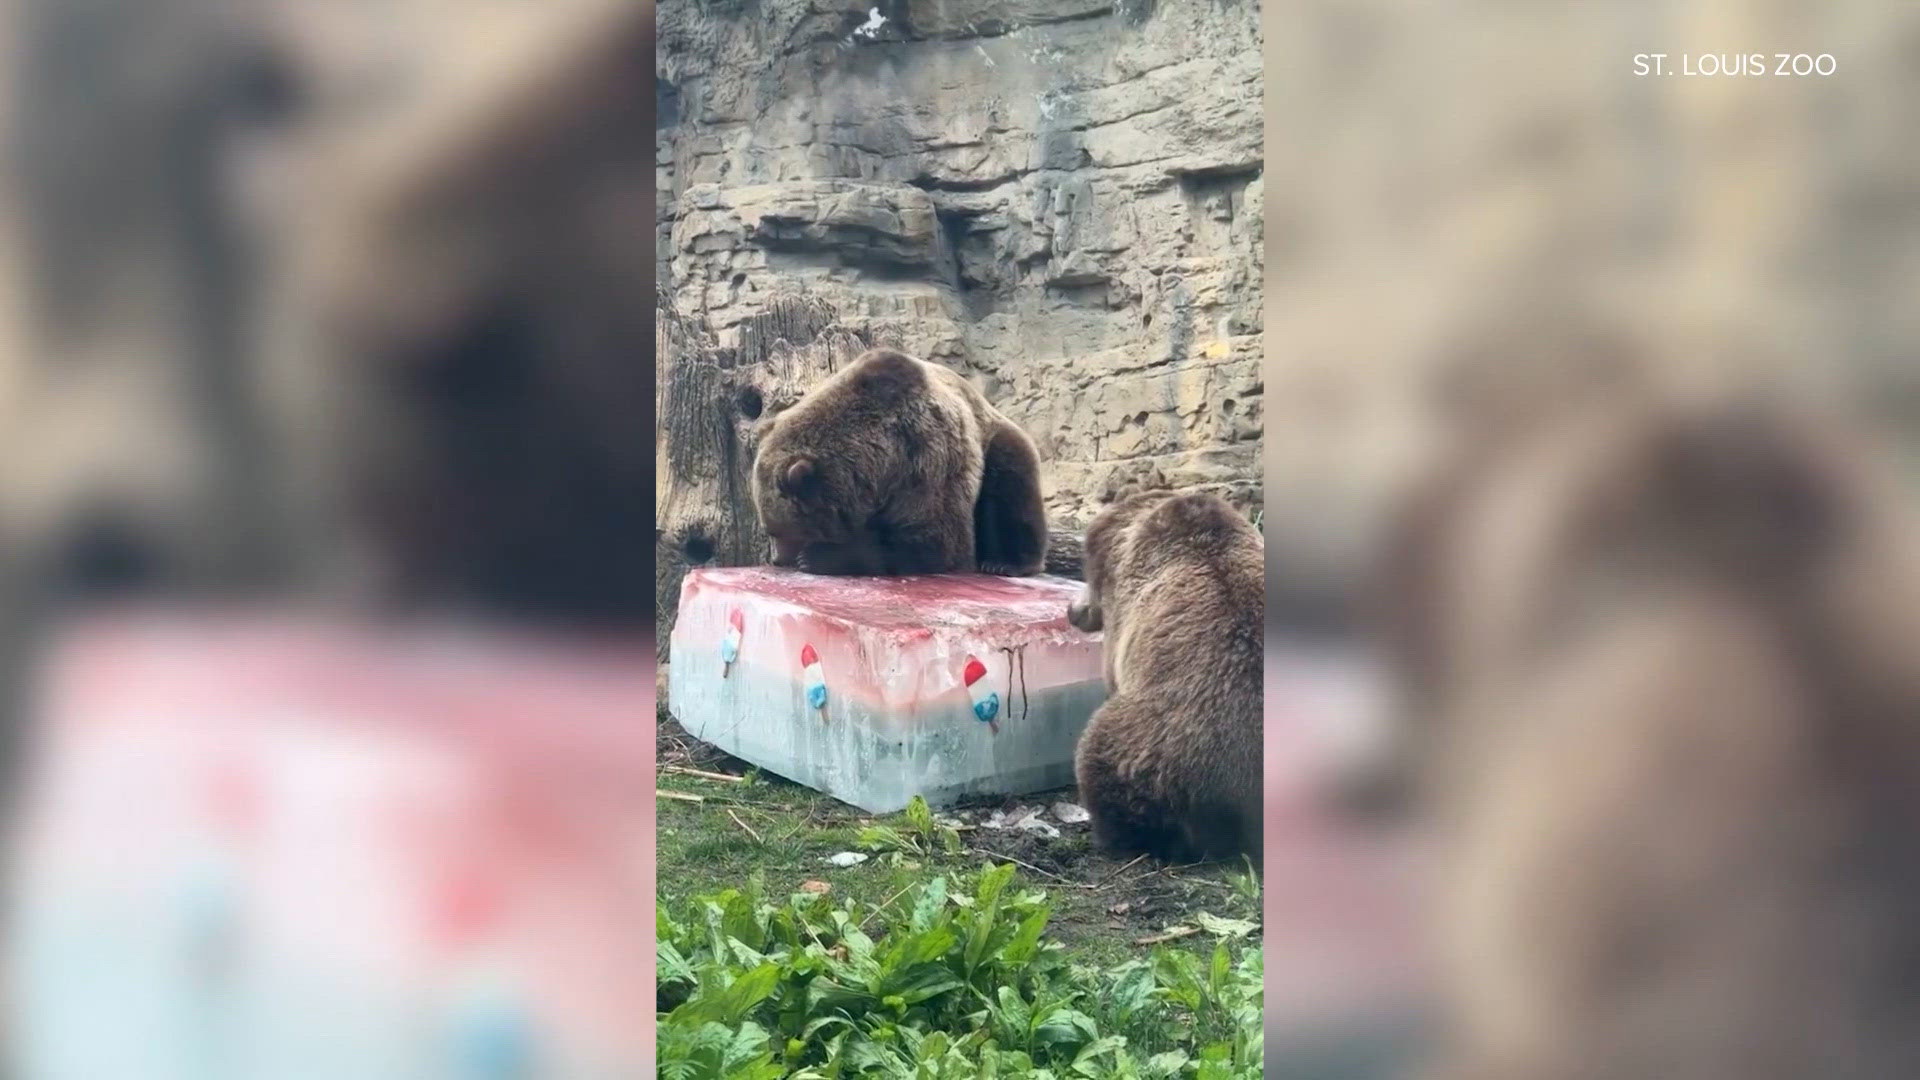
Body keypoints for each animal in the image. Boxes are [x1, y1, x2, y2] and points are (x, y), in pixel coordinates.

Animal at [750, 348, 1047, 576]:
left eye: (777, 530)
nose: (777, 559)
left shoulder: (926, 457)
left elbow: (937, 541)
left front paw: (818, 556)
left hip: (994, 440)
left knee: (1010, 485)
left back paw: (1005, 563)